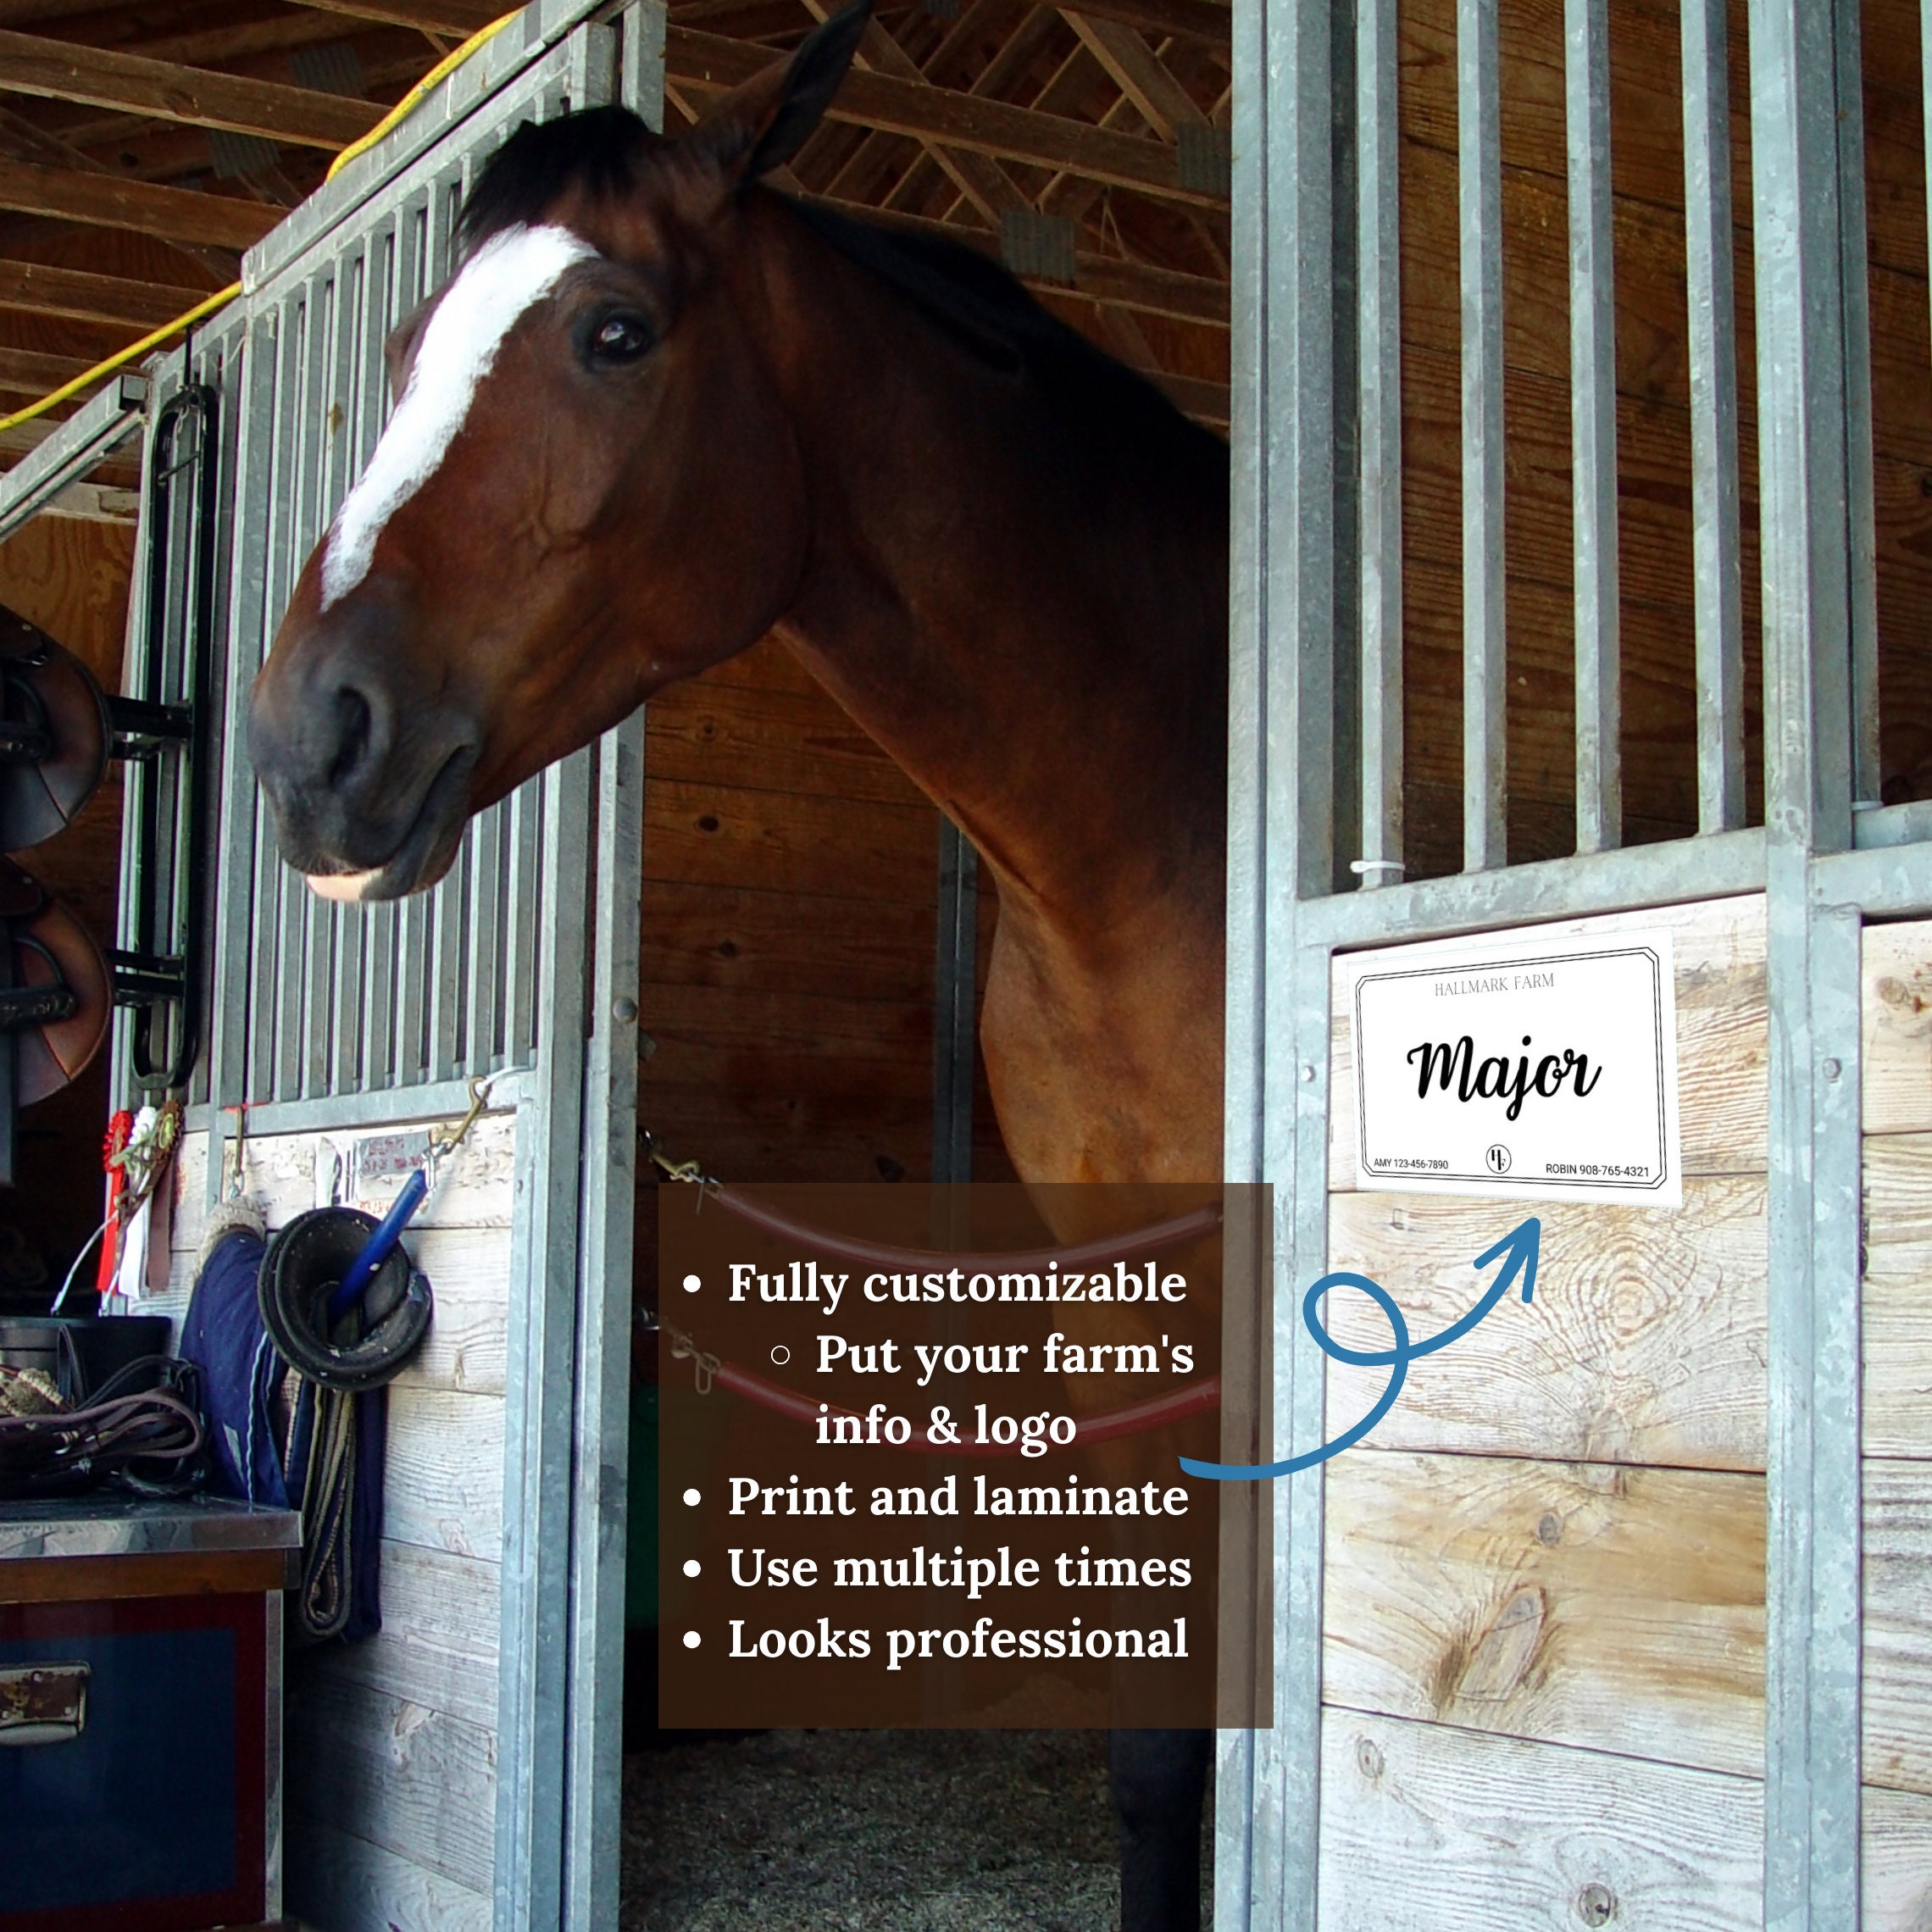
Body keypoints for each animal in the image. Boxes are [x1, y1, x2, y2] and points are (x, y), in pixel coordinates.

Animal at [246, 7, 1230, 1926]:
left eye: (616, 332)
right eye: (403, 348)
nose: (305, 745)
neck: (1157, 820)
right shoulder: (1121, 1311)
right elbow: (1167, 1757)